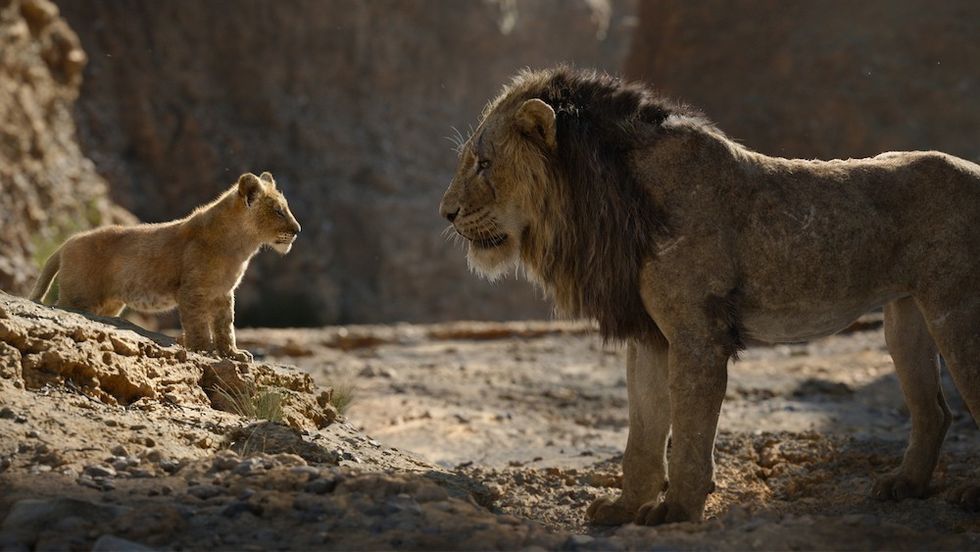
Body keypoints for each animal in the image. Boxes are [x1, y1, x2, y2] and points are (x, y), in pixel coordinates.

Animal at [30, 171, 301, 362]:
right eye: (278, 211)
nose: (298, 230)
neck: (241, 245)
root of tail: (66, 243)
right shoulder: (192, 290)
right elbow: (198, 324)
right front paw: (204, 349)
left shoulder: (223, 293)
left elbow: (226, 326)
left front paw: (233, 354)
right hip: (79, 297)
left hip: (108, 304)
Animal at [439, 67, 980, 524]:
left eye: (483, 164)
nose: (446, 212)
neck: (604, 200)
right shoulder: (650, 336)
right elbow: (643, 430)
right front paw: (624, 508)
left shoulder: (696, 334)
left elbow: (689, 430)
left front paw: (677, 510)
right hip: (906, 317)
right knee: (935, 411)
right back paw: (904, 485)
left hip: (955, 312)